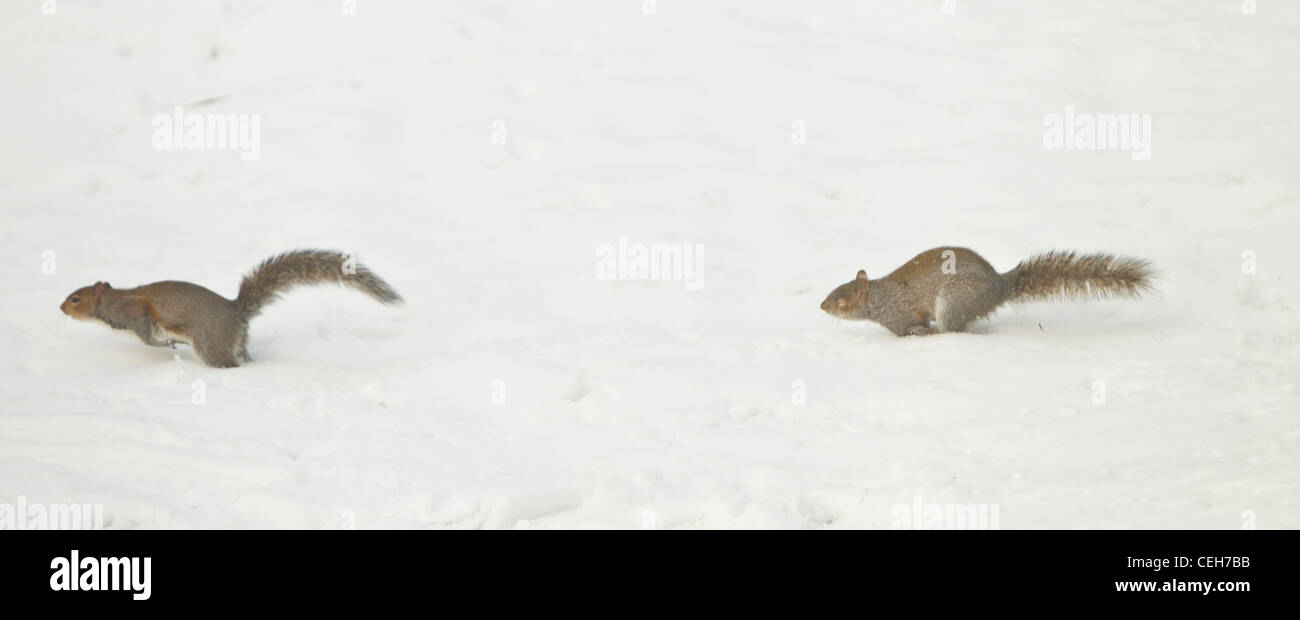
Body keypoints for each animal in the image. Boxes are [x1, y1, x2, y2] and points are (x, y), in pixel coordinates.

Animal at [60, 249, 403, 367]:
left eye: (76, 298)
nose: (61, 308)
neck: (111, 301)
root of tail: (237, 312)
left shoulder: (134, 314)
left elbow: (149, 336)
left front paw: (166, 344)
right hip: (236, 343)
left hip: (210, 343)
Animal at [820, 247, 1154, 336]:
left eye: (841, 301)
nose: (821, 307)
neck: (880, 298)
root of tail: (998, 286)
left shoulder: (898, 316)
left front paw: (920, 334)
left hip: (954, 301)